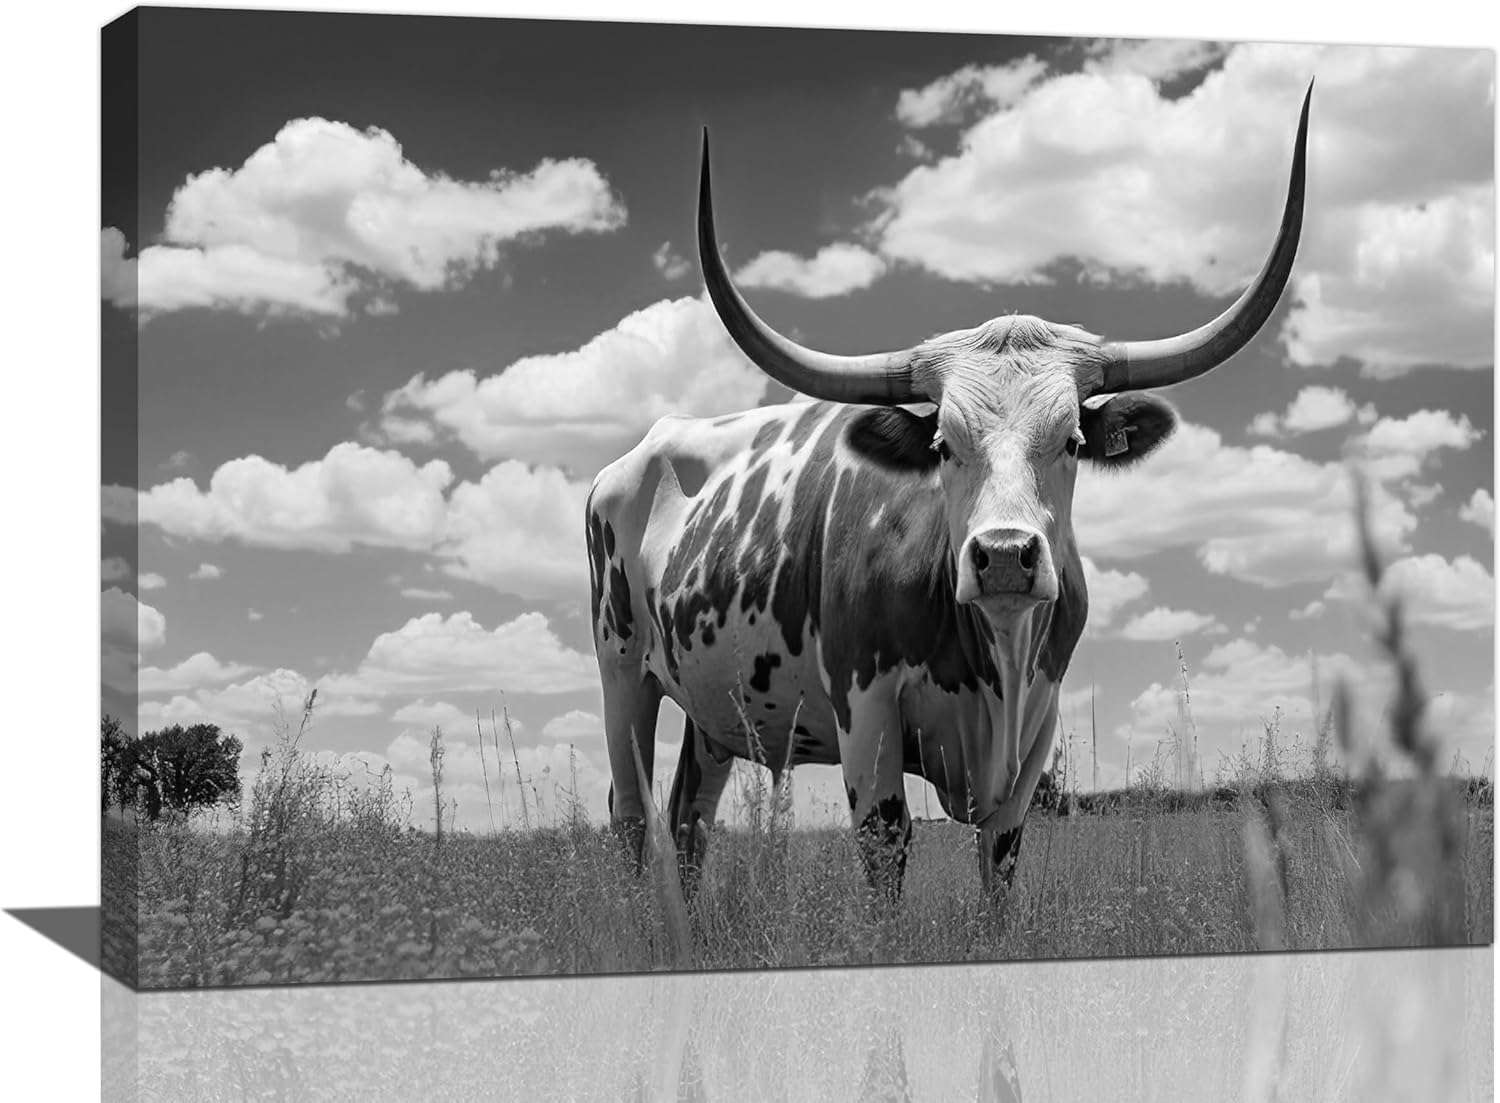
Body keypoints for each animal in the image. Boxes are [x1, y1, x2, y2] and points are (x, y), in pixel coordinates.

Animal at [588, 85, 1312, 897]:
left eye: (1073, 441)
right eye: (941, 445)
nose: (1003, 556)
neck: (997, 658)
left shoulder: (1036, 733)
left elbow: (1000, 864)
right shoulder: (865, 711)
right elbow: (885, 846)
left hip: (714, 708)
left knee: (689, 820)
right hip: (621, 672)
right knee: (629, 816)